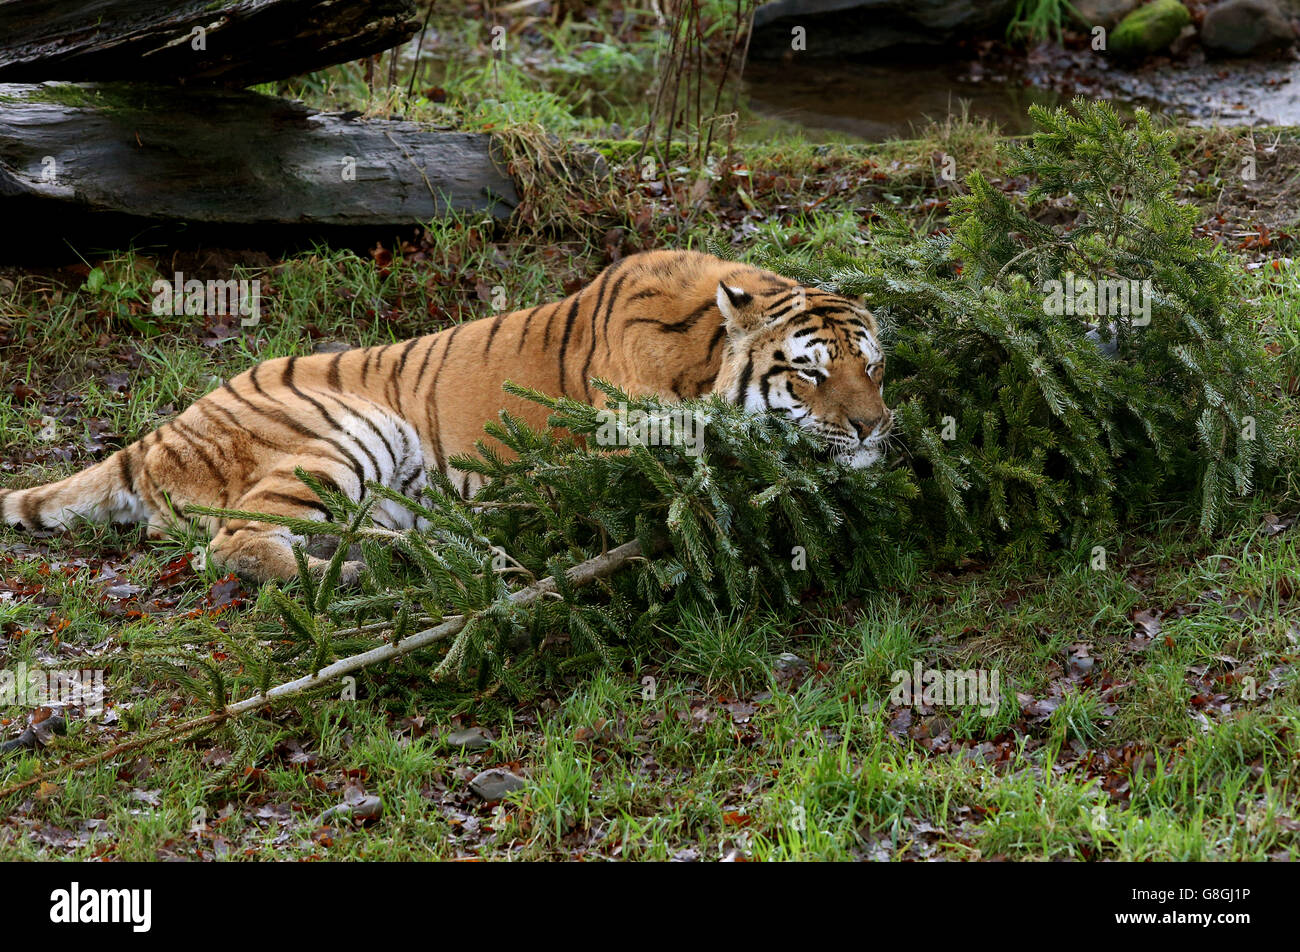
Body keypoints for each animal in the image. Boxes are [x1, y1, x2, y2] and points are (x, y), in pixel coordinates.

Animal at [0, 249, 892, 583]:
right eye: (808, 373)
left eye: (873, 366)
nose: (874, 428)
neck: (702, 351)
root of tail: (157, 431)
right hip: (351, 428)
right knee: (234, 543)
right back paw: (369, 574)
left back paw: (444, 555)